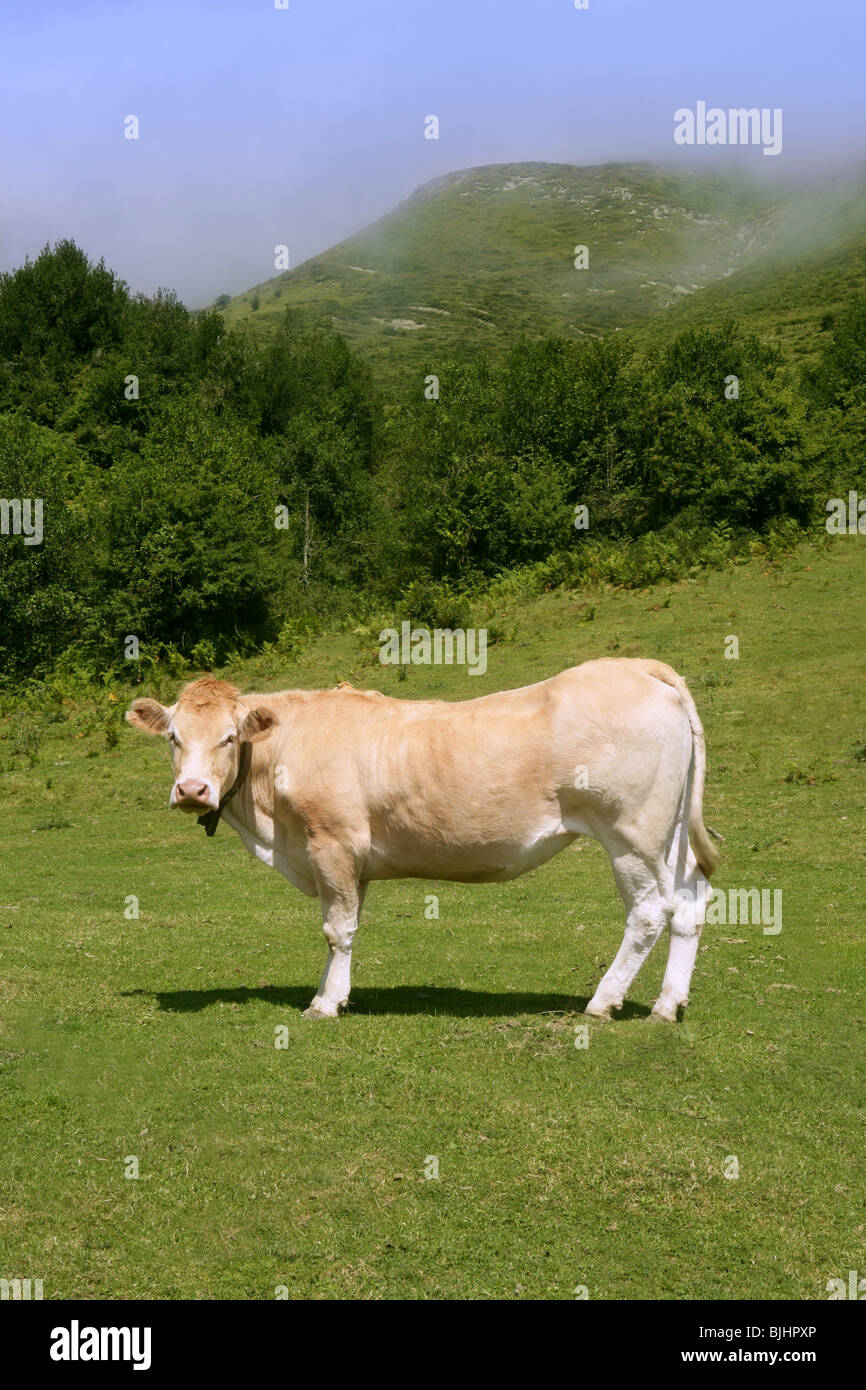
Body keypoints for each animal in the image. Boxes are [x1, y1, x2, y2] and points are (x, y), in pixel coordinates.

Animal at [126, 660, 719, 1022]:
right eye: (174, 738)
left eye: (229, 738)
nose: (192, 790)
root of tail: (637, 666)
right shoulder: (350, 860)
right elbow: (343, 928)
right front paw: (332, 991)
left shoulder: (331, 842)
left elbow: (336, 929)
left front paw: (324, 1004)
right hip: (667, 834)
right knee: (691, 898)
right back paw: (667, 1005)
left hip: (630, 832)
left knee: (649, 910)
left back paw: (603, 1000)